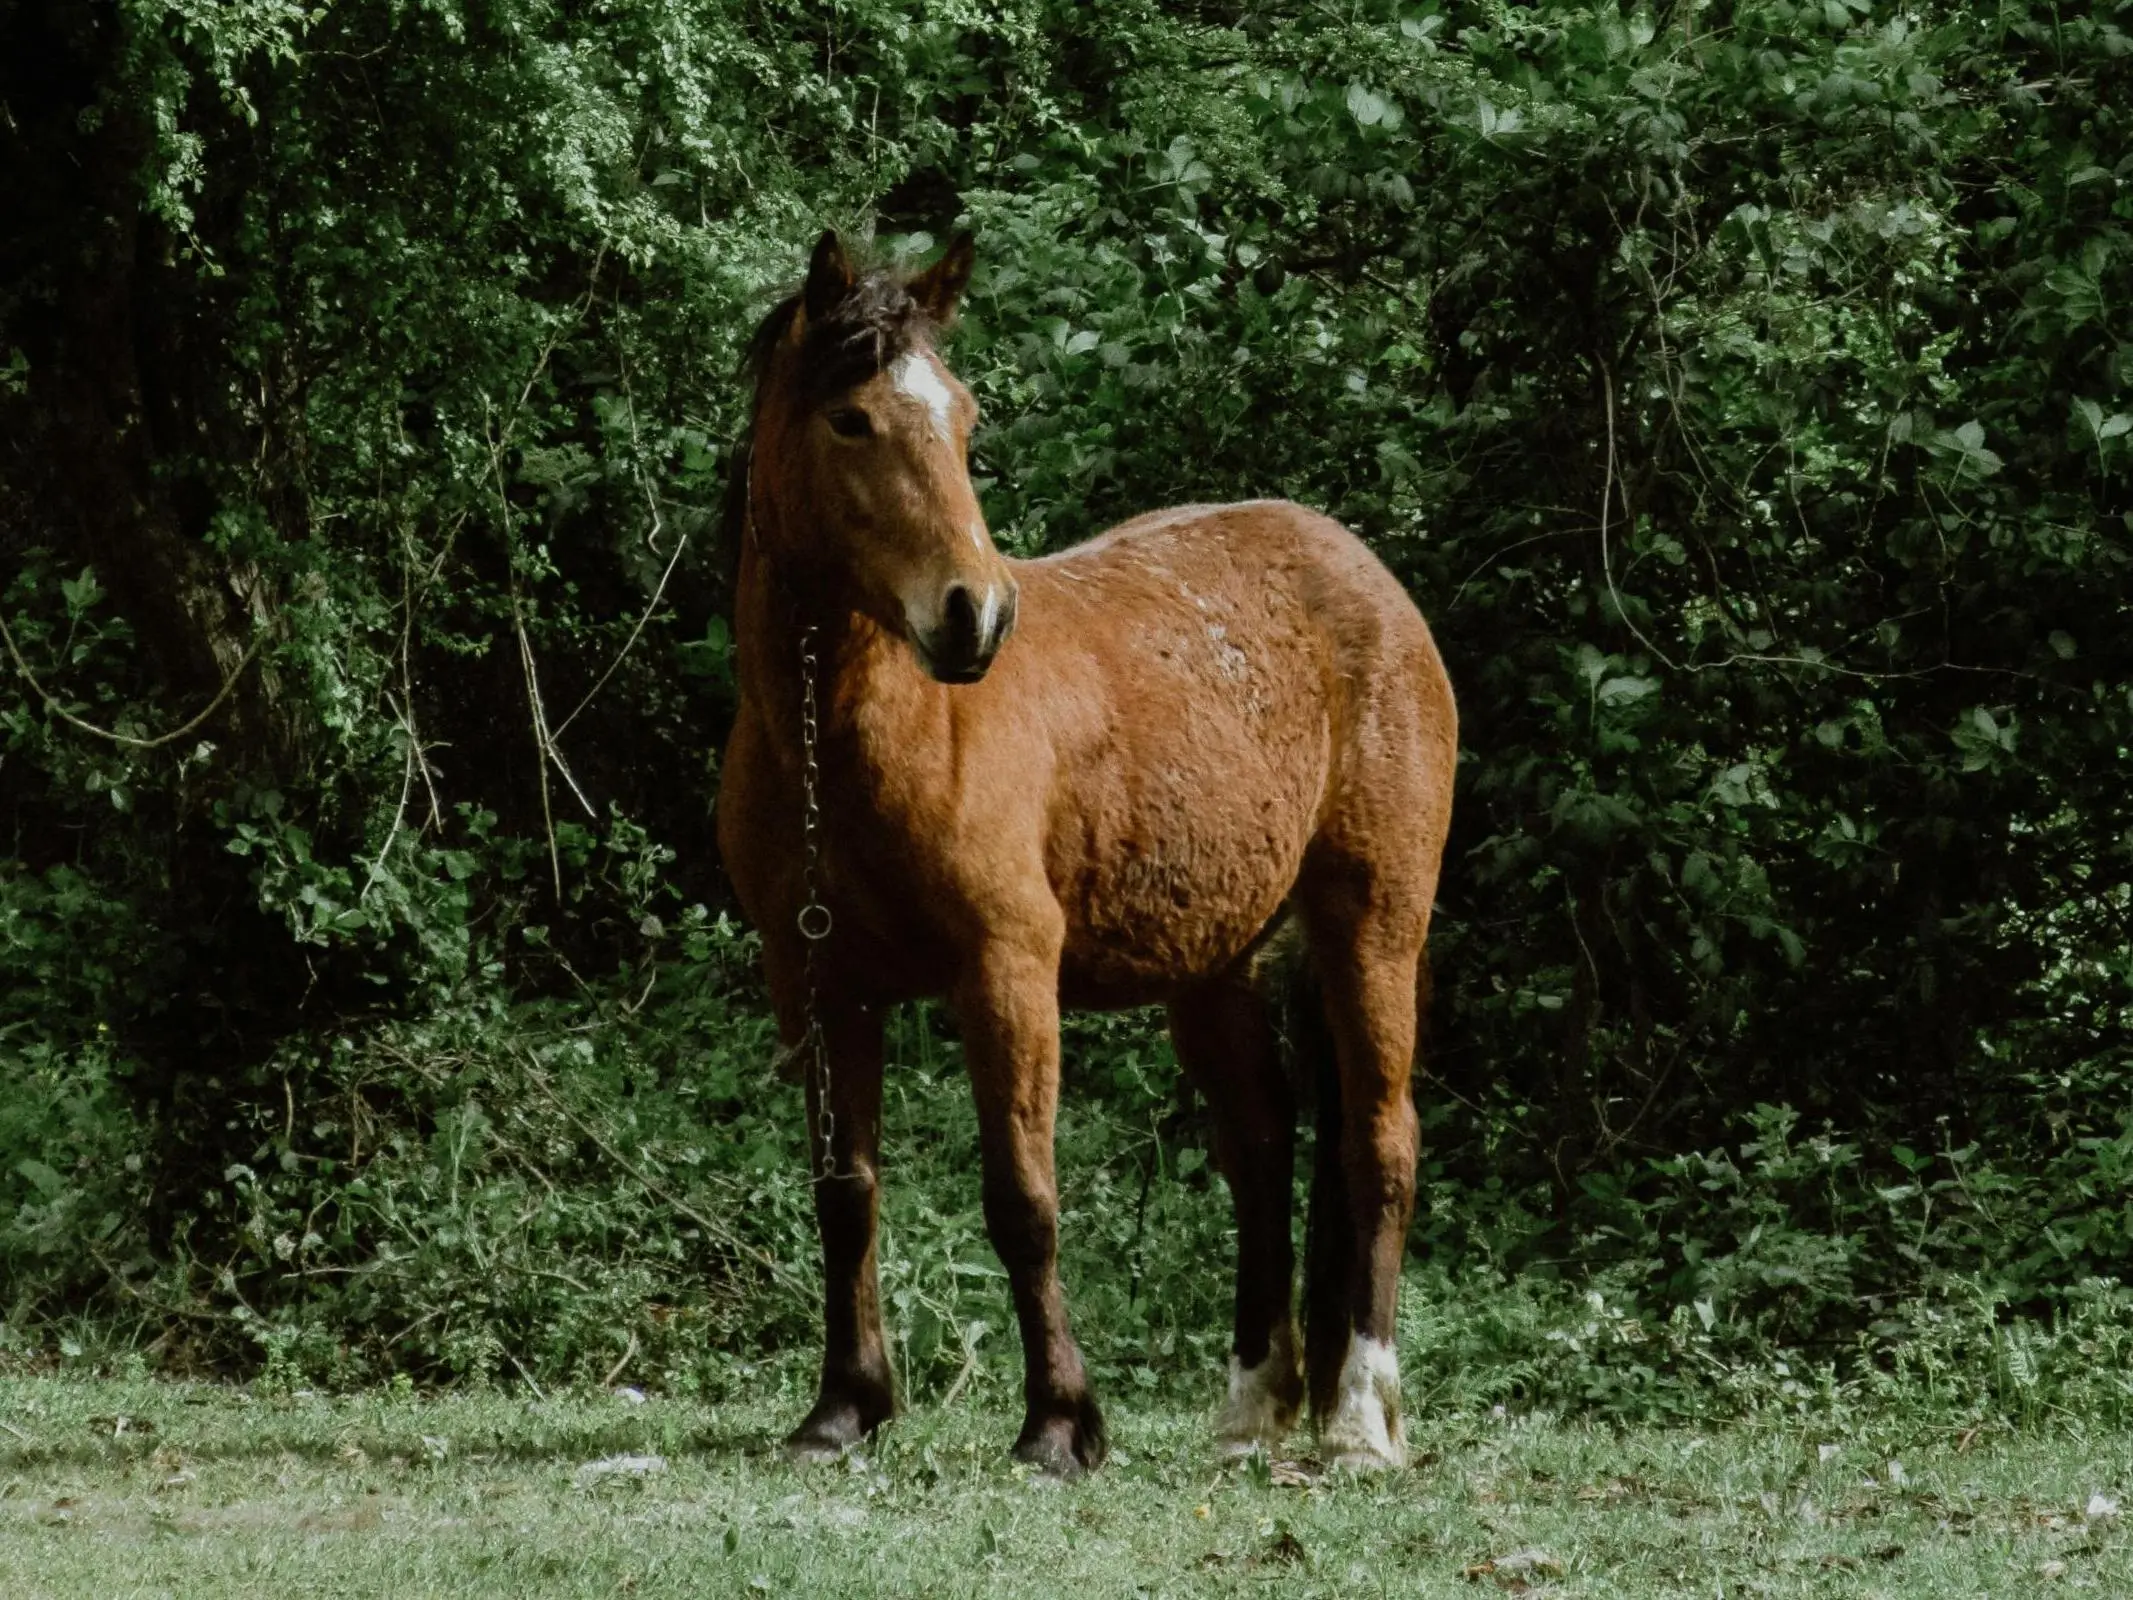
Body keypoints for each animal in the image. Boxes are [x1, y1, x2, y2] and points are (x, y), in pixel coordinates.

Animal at [716, 230, 1457, 1476]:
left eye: (964, 418)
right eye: (851, 420)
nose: (974, 615)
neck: (852, 748)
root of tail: (1368, 578)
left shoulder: (1006, 971)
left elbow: (1024, 1198)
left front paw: (1060, 1422)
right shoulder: (817, 984)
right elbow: (844, 1192)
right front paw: (843, 1408)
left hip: (1374, 927)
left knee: (1378, 1141)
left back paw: (1358, 1416)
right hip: (1213, 965)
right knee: (1261, 1143)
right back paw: (1253, 1405)